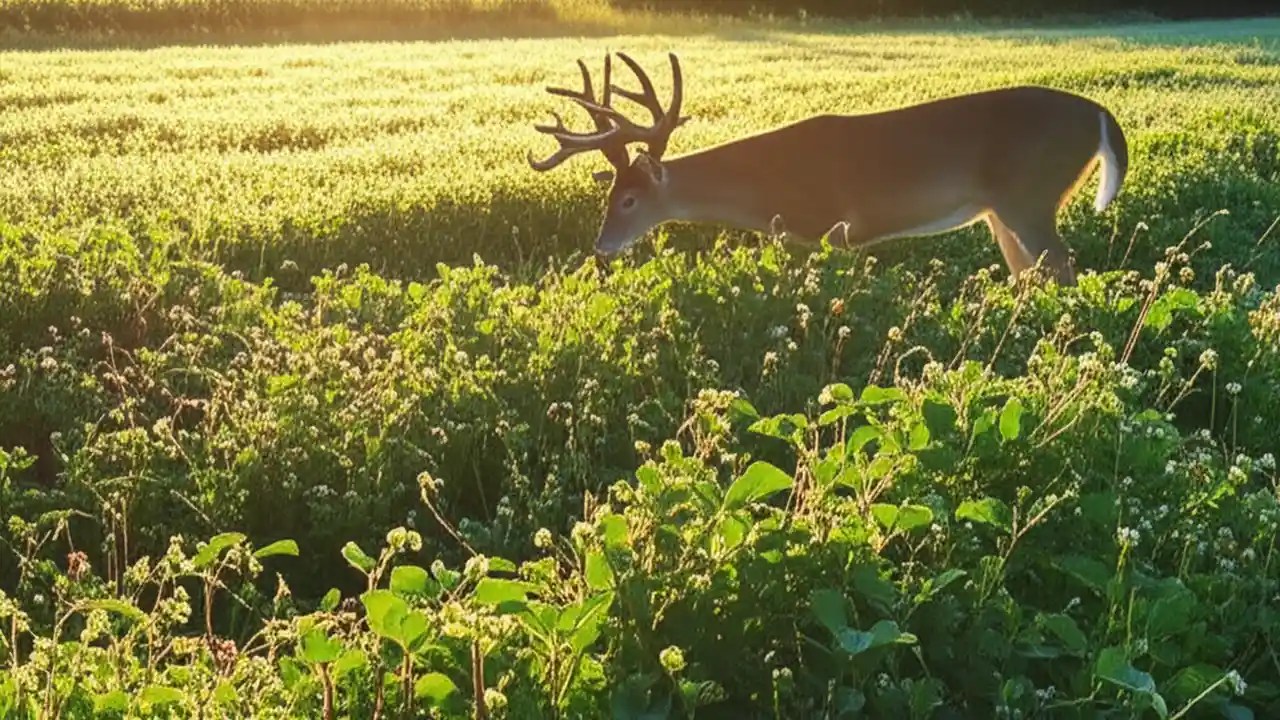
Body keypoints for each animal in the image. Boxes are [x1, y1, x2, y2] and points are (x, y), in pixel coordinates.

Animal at [526, 51, 1130, 286]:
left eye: (630, 200)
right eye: (608, 195)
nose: (602, 246)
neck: (766, 187)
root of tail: (1101, 116)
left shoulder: (829, 226)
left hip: (1031, 193)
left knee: (1063, 266)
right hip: (1001, 209)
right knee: (1031, 273)